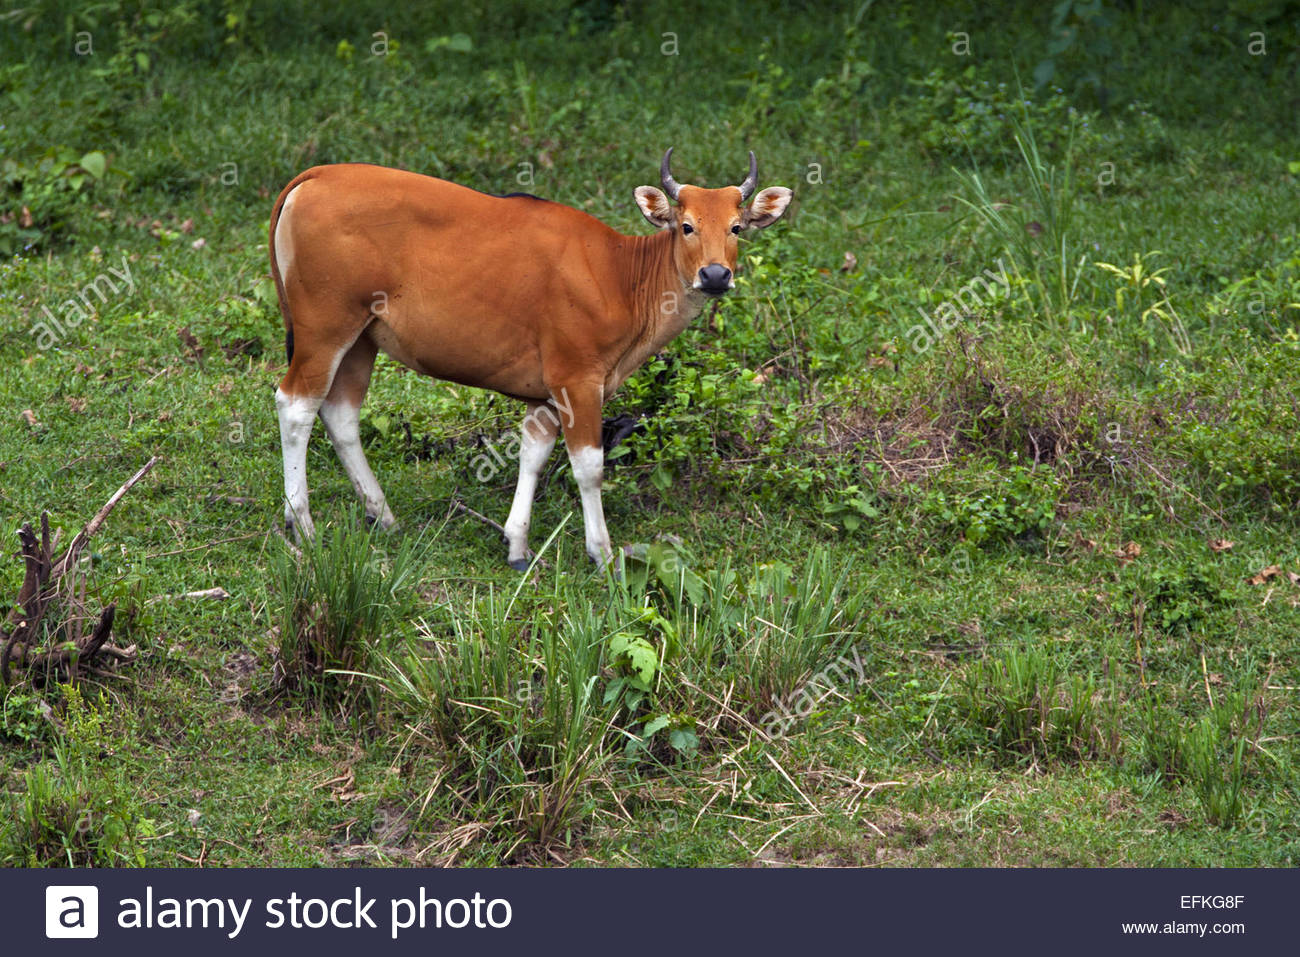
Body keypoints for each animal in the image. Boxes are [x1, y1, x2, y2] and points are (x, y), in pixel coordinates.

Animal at [269, 149, 791, 569]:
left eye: (737, 228)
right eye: (686, 227)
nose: (715, 274)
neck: (621, 276)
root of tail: (316, 176)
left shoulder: (545, 392)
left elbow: (532, 456)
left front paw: (517, 545)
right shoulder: (577, 379)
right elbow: (589, 467)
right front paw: (602, 553)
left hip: (362, 338)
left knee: (340, 415)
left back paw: (382, 514)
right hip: (325, 326)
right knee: (295, 406)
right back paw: (303, 524)